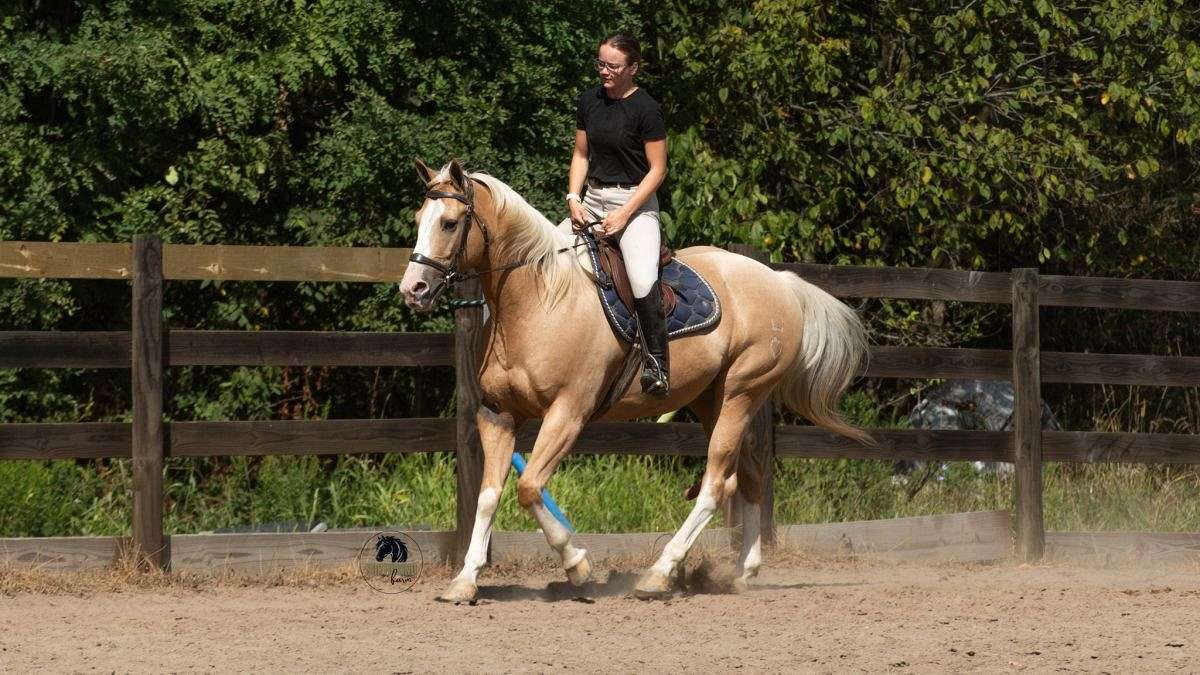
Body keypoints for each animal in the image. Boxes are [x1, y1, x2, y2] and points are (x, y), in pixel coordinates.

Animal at [400, 159, 871, 601]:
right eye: (419, 218)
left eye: (449, 223)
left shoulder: (568, 414)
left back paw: (659, 574)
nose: (413, 289)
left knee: (716, 485)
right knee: (748, 475)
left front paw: (577, 565)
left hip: (742, 392)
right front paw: (465, 580)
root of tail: (779, 281)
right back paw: (742, 572)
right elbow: (488, 496)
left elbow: (530, 488)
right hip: (712, 400)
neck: (538, 300)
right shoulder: (496, 415)